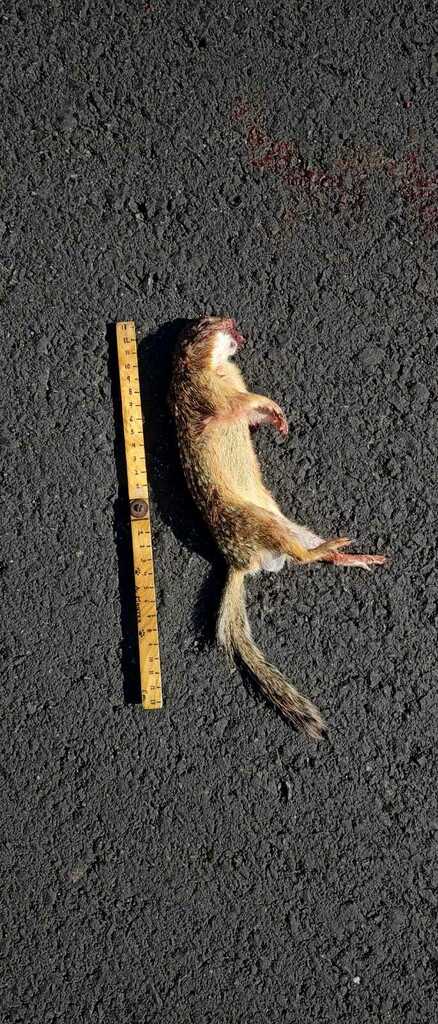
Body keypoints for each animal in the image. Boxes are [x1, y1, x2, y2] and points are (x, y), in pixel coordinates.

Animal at [168, 315, 387, 739]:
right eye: (209, 322)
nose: (235, 323)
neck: (213, 365)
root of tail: (240, 563)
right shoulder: (208, 393)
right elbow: (240, 404)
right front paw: (273, 407)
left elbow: (250, 412)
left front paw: (277, 420)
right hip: (264, 522)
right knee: (302, 557)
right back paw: (334, 547)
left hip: (289, 523)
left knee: (310, 556)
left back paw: (353, 556)